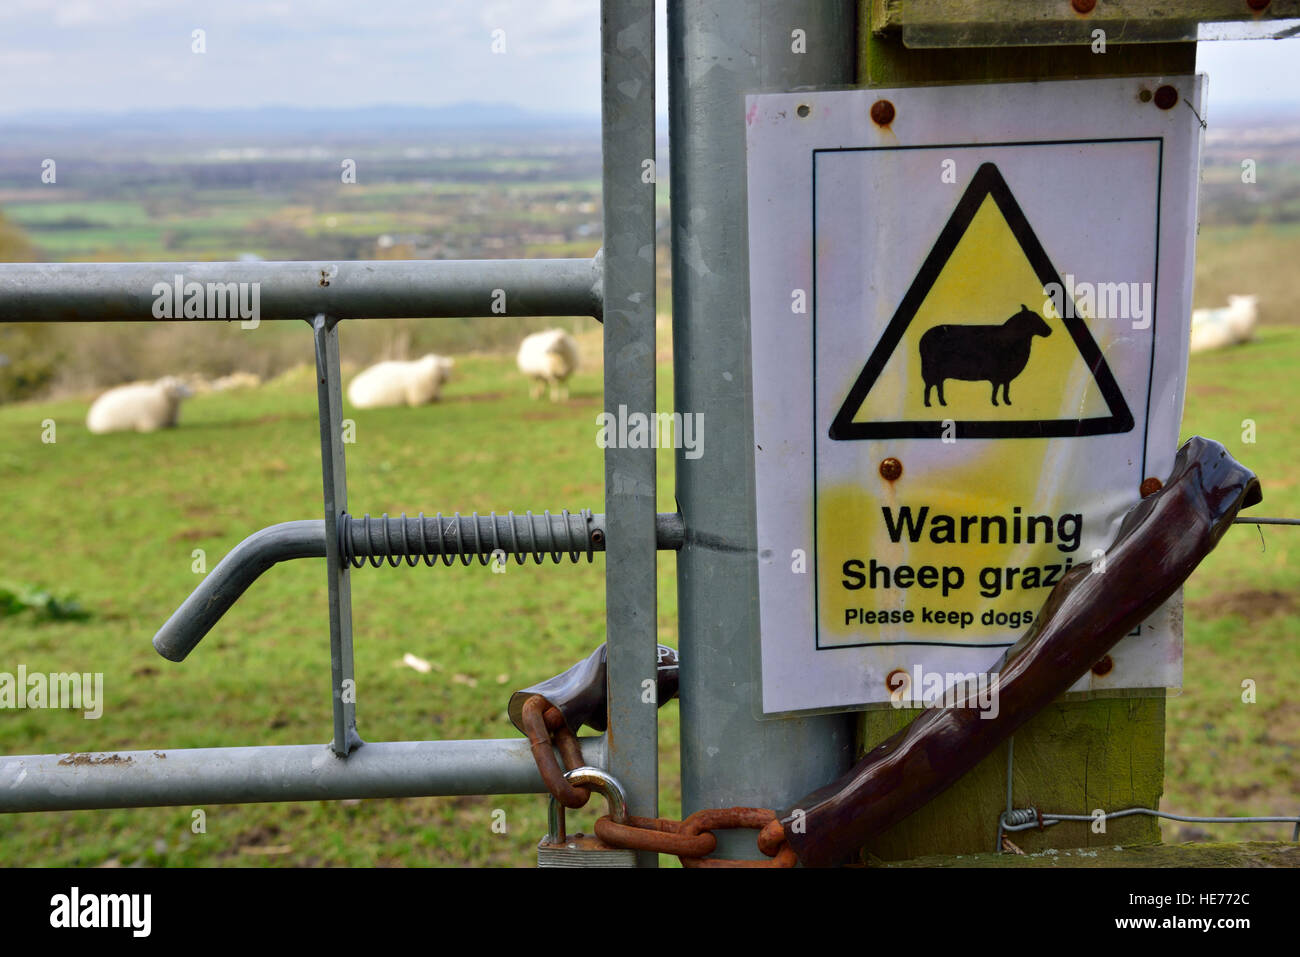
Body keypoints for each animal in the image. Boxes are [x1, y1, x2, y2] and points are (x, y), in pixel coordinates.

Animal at [919, 304, 1052, 408]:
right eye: (1034, 319)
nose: (1050, 331)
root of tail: (922, 339)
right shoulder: (997, 375)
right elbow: (996, 389)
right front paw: (995, 403)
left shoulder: (1006, 377)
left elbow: (1005, 389)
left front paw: (1007, 402)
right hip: (930, 371)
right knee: (928, 388)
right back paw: (928, 404)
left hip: (938, 375)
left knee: (938, 387)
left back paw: (942, 403)